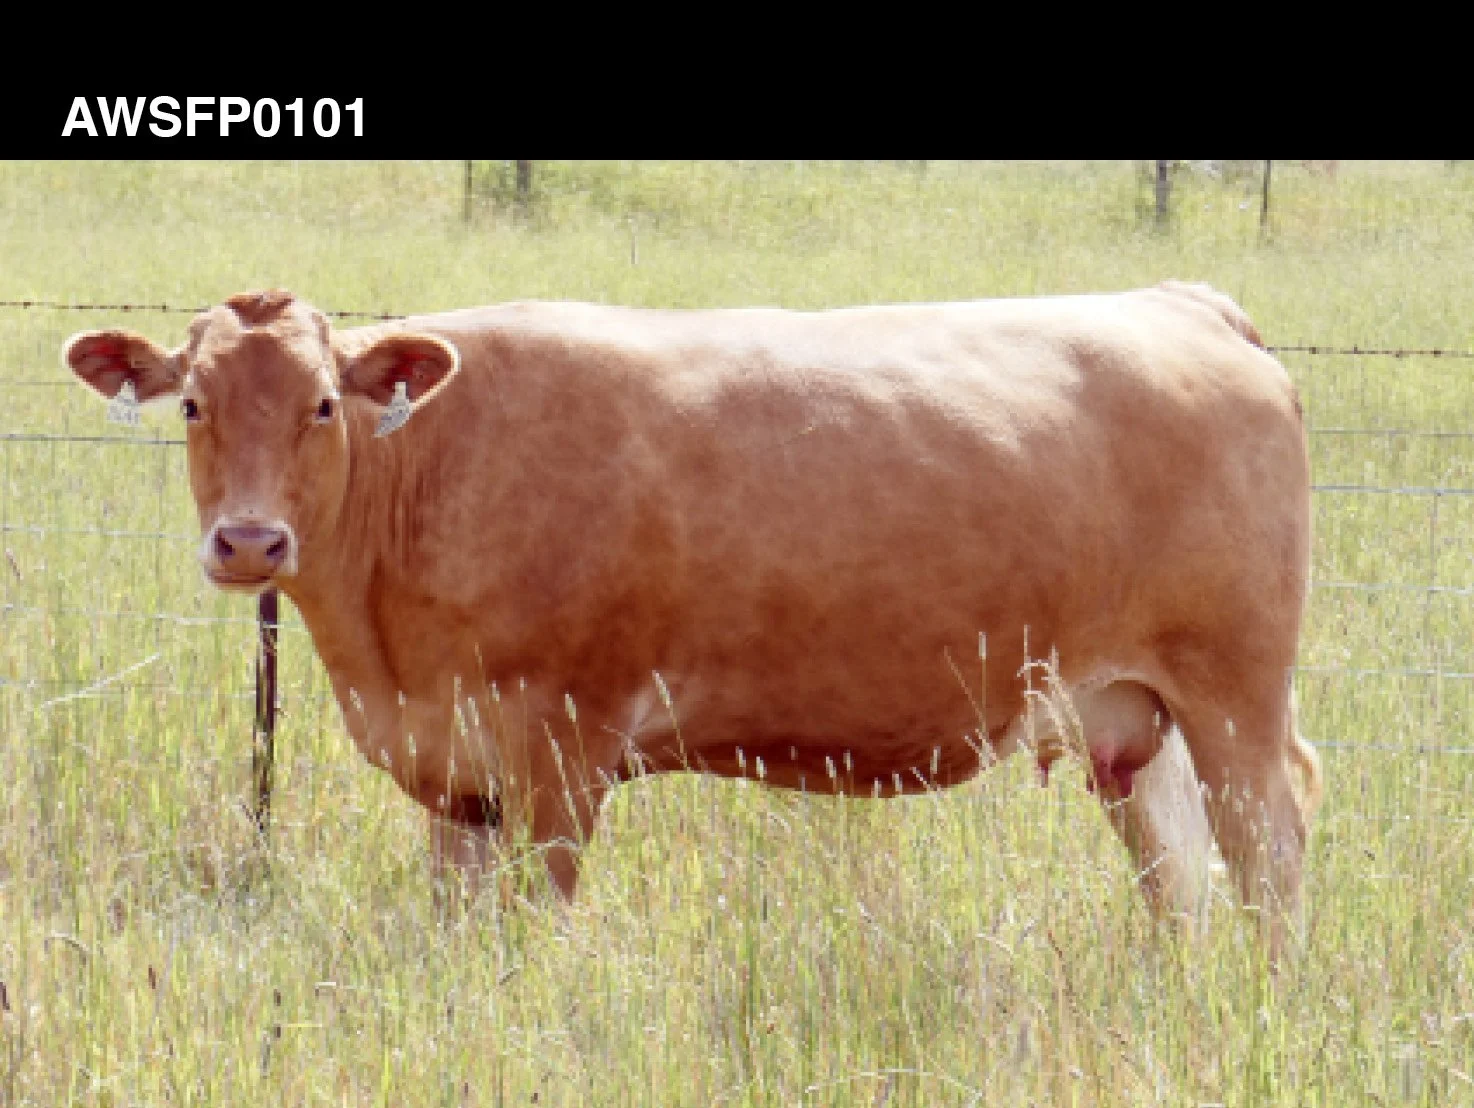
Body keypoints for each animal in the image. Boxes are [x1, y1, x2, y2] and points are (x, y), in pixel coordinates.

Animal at [63, 280, 1322, 955]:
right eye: (192, 402)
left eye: (325, 404)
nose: (250, 544)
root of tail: (1178, 303)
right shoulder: (457, 771)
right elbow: (459, 934)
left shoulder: (562, 749)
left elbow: (535, 929)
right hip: (1126, 712)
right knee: (1179, 874)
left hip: (1233, 693)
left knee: (1270, 849)